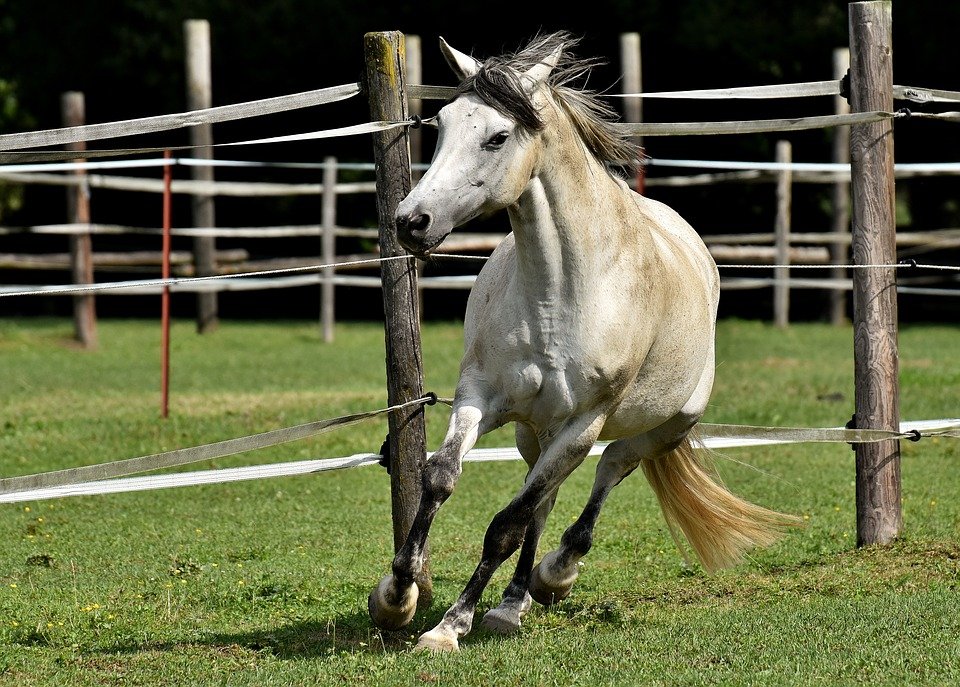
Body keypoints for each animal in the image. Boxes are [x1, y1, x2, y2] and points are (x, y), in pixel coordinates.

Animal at [368, 32, 796, 652]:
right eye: (442, 124)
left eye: (497, 136)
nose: (411, 221)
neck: (560, 293)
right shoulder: (480, 398)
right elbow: (440, 477)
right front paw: (397, 595)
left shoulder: (582, 424)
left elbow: (504, 526)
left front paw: (449, 626)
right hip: (534, 432)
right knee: (541, 498)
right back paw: (513, 602)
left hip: (656, 430)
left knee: (604, 474)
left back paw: (553, 575)